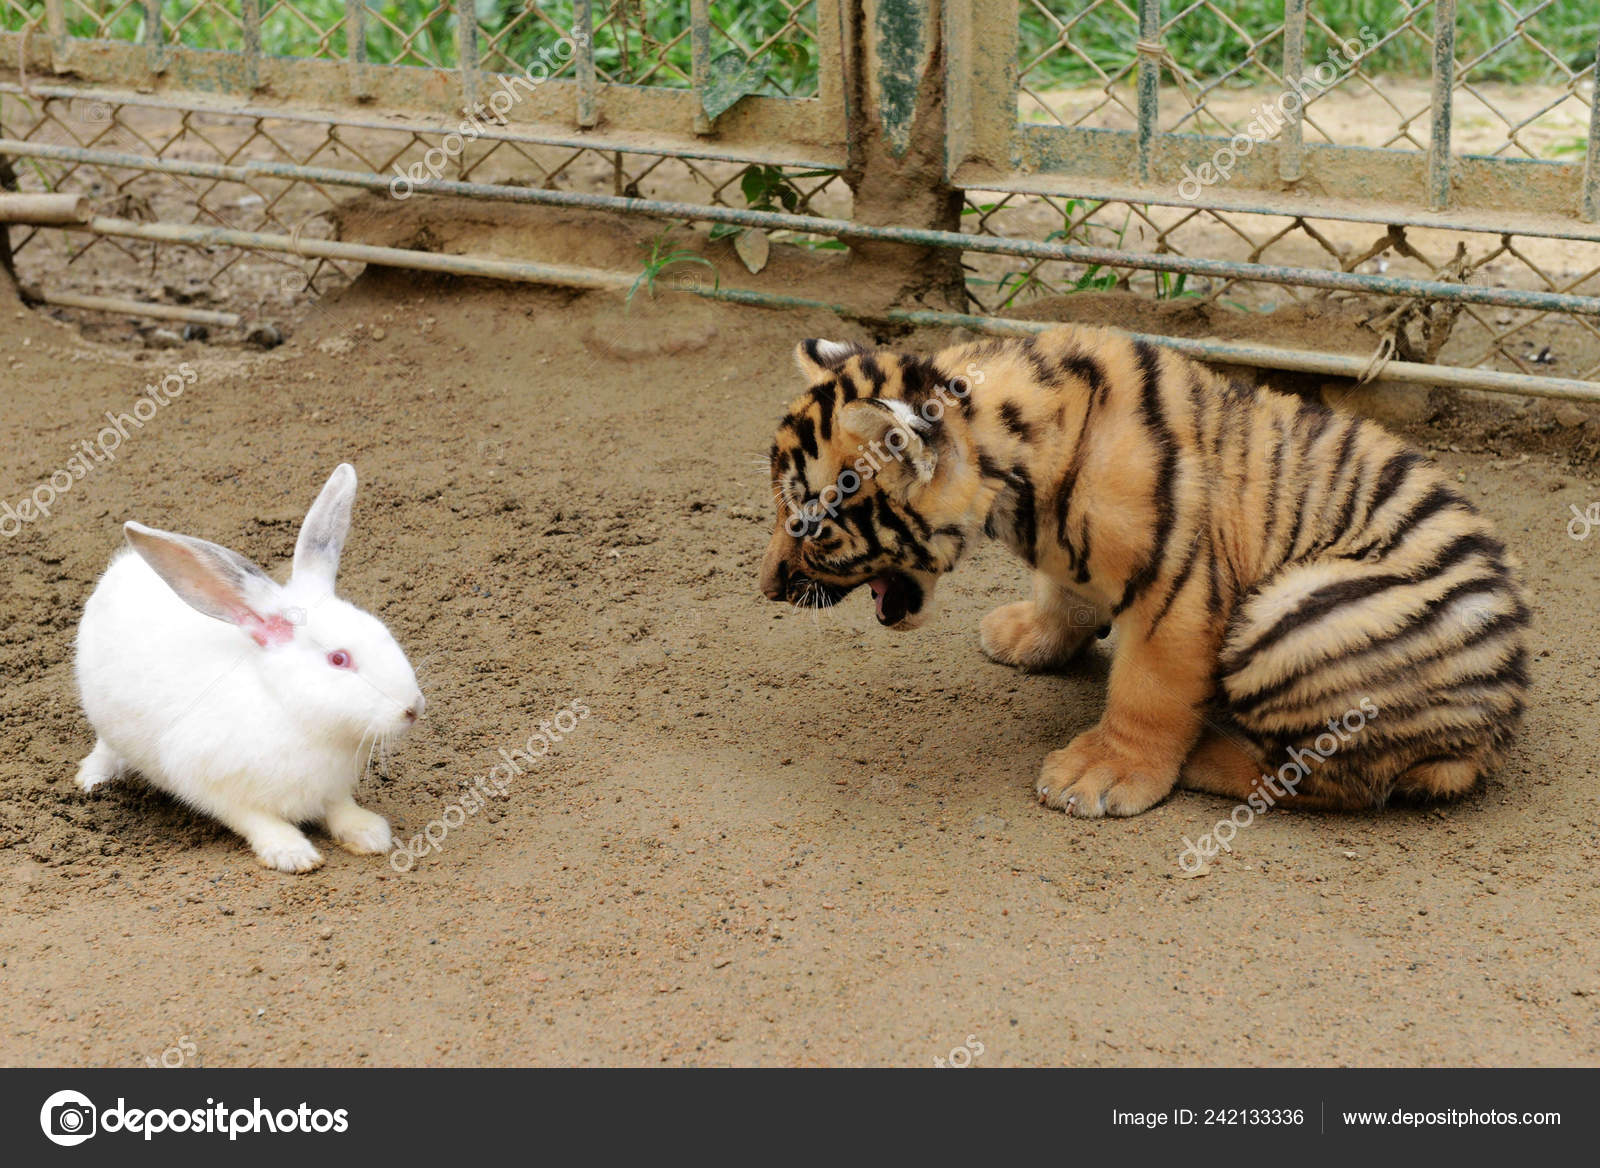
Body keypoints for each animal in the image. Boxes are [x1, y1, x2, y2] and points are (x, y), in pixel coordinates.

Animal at [759, 327, 1529, 817]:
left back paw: (1205, 757)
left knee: (1339, 777)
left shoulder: (1178, 584)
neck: (1010, 474)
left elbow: (1146, 691)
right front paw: (1026, 635)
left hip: (1294, 619)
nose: (767, 588)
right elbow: (1062, 588)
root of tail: (1493, 730)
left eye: (813, 524)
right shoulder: (1069, 553)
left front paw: (1101, 774)